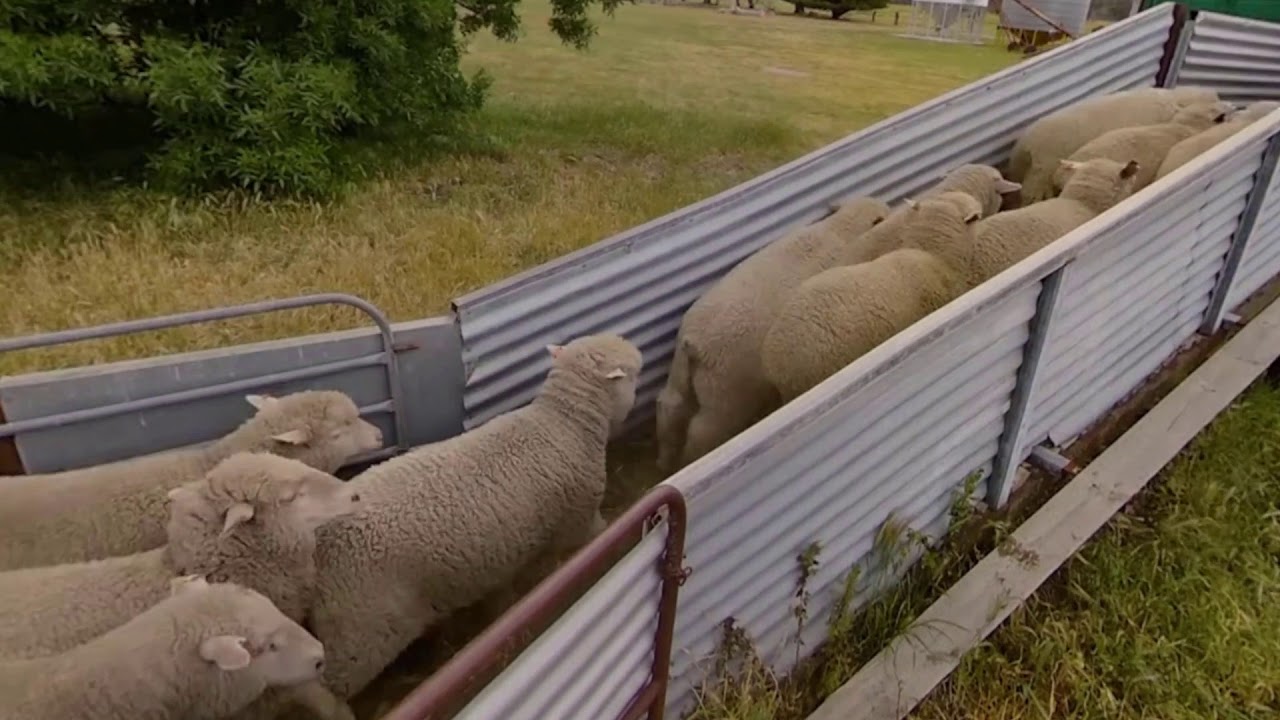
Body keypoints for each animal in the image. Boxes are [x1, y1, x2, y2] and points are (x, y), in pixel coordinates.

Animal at [654, 164, 1019, 472]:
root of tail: (693, 340)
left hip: (686, 380)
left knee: (669, 408)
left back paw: (665, 461)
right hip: (728, 396)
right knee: (703, 432)